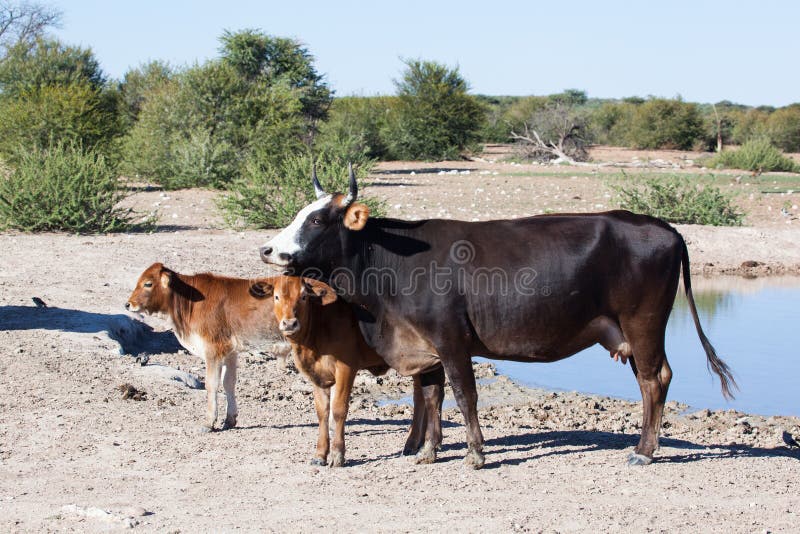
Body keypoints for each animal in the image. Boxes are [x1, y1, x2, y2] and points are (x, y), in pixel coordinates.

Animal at [125, 263, 289, 432]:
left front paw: (209, 422)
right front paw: (229, 419)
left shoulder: (213, 349)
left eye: (148, 284)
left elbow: (211, 384)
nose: (128, 304)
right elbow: (228, 382)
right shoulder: (230, 352)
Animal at [262, 275, 444, 467]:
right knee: (421, 396)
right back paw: (417, 443)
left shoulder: (346, 367)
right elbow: (322, 412)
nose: (290, 323)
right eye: (276, 297)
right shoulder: (317, 375)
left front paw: (337, 454)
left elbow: (338, 409)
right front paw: (320, 454)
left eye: (303, 296)